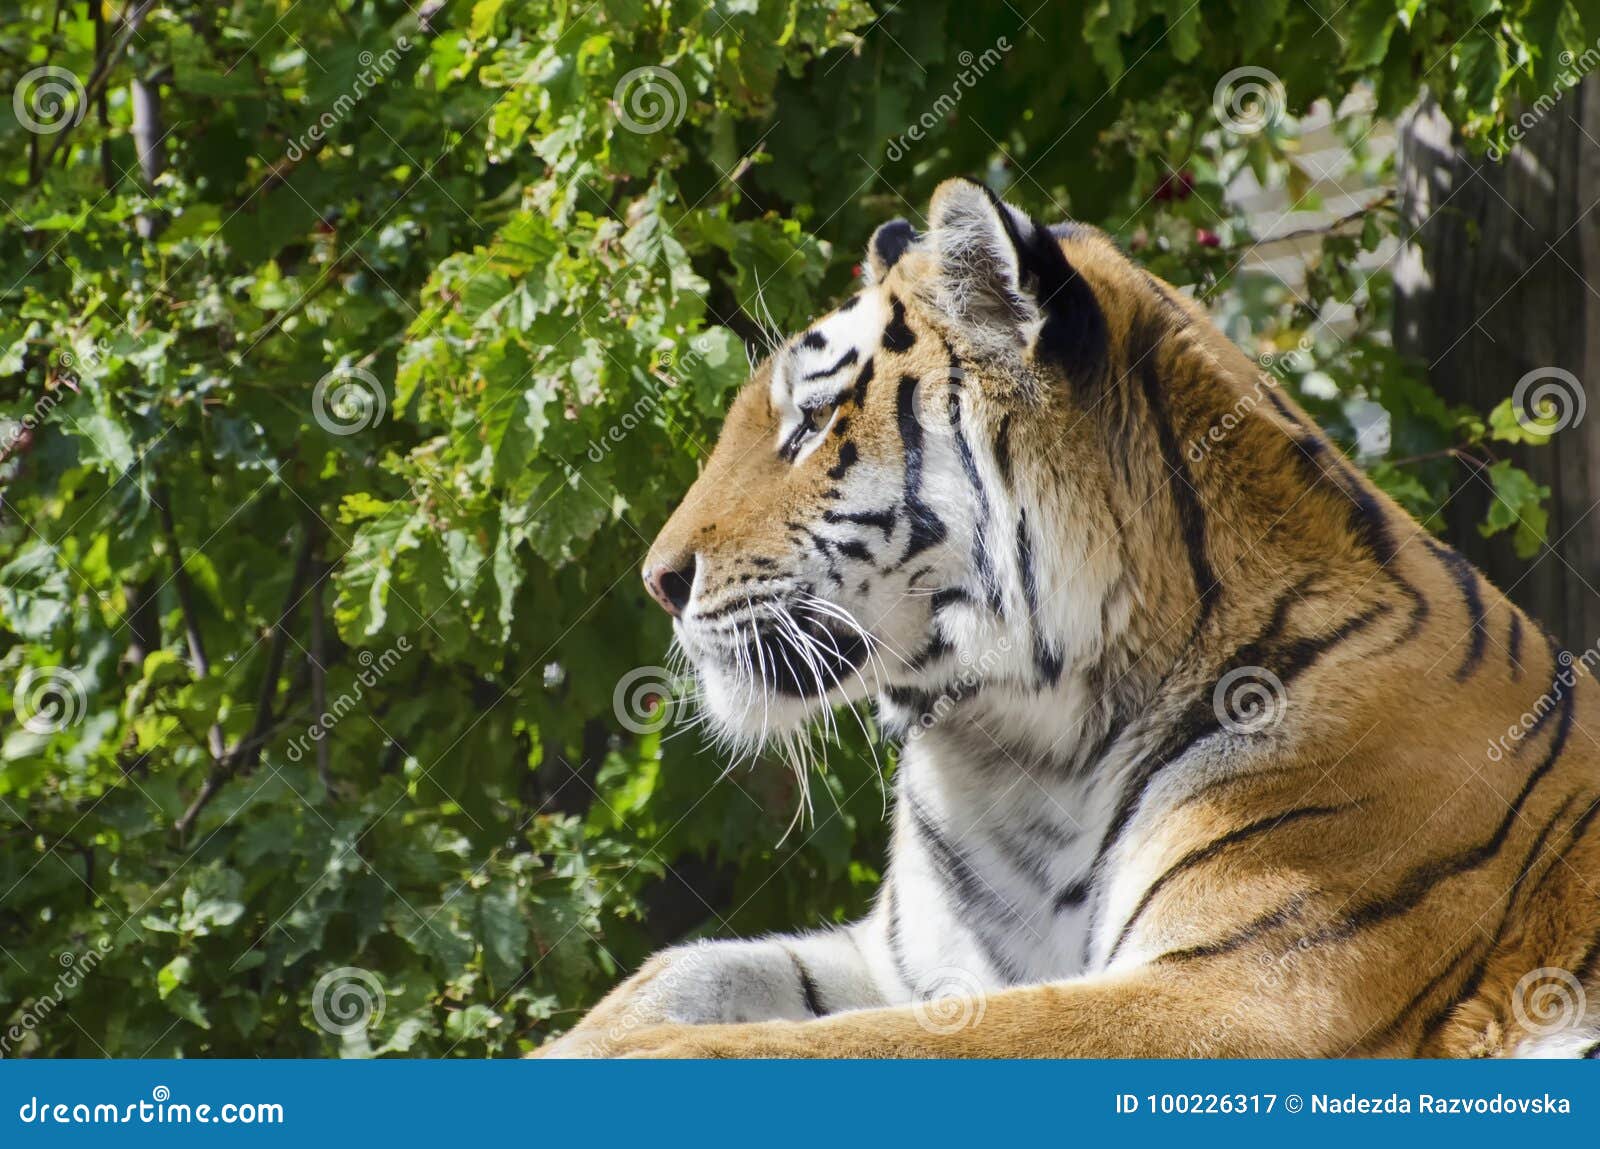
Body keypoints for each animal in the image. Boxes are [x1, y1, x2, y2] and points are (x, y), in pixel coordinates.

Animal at [538, 178, 1600, 1058]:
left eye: (810, 424)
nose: (658, 579)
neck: (1021, 750)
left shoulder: (1248, 991)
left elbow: (828, 1049)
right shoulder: (906, 960)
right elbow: (684, 968)